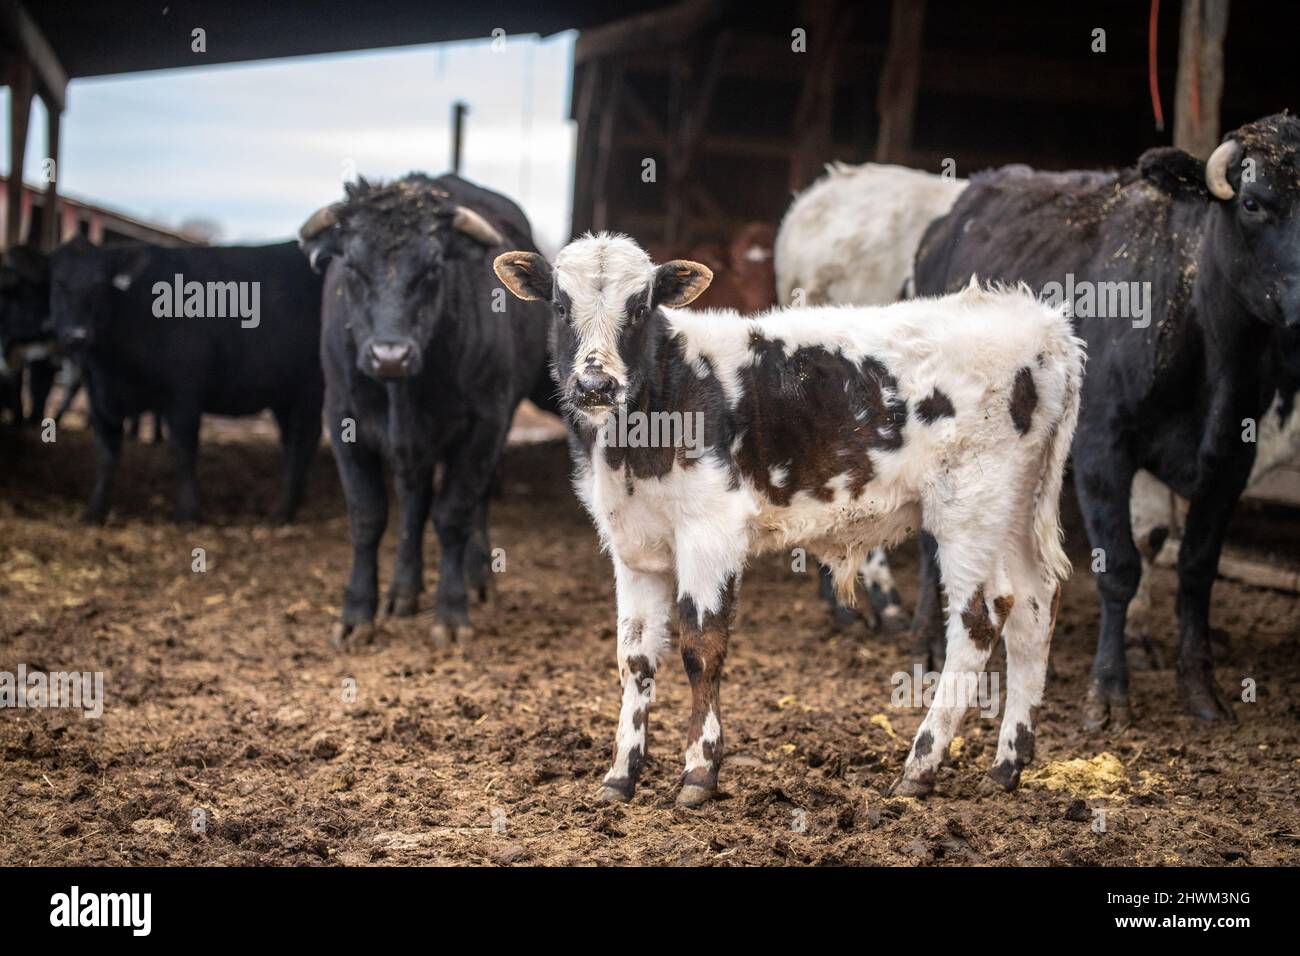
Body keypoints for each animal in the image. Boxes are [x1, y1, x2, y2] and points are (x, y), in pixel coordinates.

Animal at [50, 236, 324, 524]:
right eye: (57, 284)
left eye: (100, 285)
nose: (77, 336)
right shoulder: (98, 399)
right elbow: (106, 455)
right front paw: (93, 512)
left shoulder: (183, 395)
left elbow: (182, 451)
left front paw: (187, 513)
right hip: (283, 393)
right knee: (290, 441)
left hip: (311, 388)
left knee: (304, 439)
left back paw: (282, 512)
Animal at [297, 174, 552, 650]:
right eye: (353, 268)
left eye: (433, 269)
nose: (390, 355)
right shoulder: (342, 419)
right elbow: (368, 515)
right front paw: (356, 614)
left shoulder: (485, 425)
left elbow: (453, 514)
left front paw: (451, 613)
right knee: (414, 503)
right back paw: (403, 590)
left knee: (475, 501)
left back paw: (478, 578)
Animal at [494, 232, 1084, 804]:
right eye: (560, 305)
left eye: (640, 307)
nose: (595, 386)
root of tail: (1043, 325)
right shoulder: (634, 547)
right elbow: (635, 659)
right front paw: (620, 776)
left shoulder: (710, 532)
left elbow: (700, 648)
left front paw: (699, 772)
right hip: (1013, 510)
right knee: (1032, 608)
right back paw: (1006, 765)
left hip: (969, 510)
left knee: (980, 619)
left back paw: (920, 765)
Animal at [912, 114, 1300, 729]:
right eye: (1254, 203)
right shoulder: (1102, 450)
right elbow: (1119, 567)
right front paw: (1109, 690)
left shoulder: (1232, 461)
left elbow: (1197, 570)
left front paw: (1200, 687)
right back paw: (928, 642)